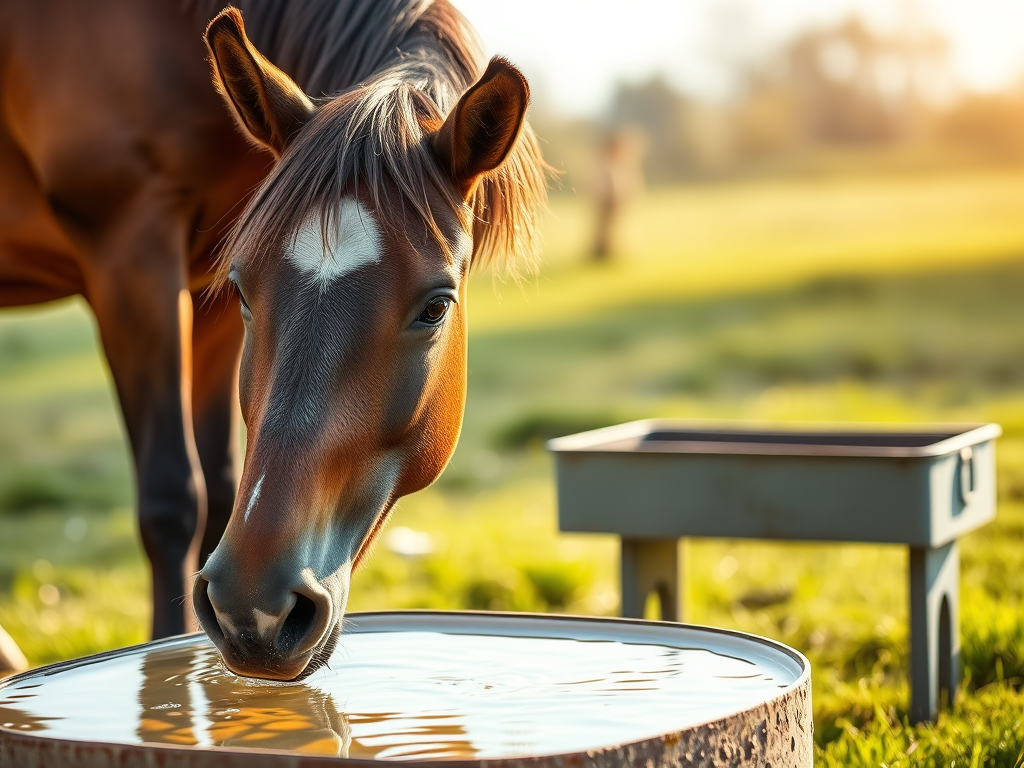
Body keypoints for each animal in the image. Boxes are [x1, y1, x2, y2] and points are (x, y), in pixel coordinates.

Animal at [0, 0, 547, 679]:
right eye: (245, 290)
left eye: (437, 307)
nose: (253, 608)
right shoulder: (130, 252)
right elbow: (170, 501)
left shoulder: (202, 293)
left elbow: (216, 491)